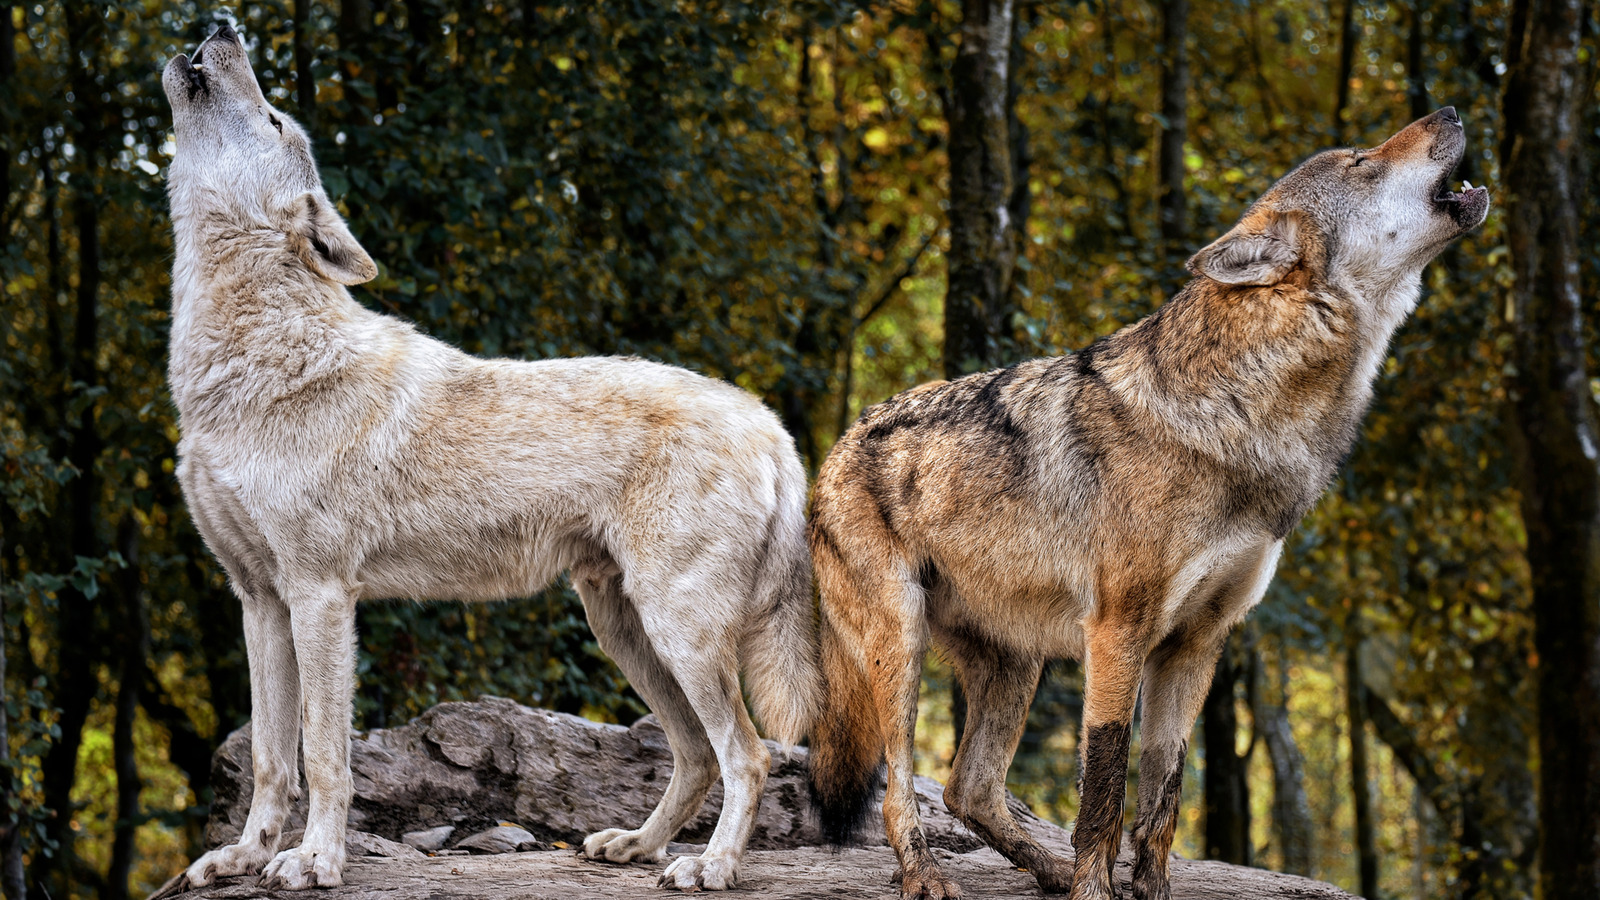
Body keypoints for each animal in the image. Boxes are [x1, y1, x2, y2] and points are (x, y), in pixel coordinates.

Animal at [160, 23, 820, 893]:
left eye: (271, 119)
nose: (223, 26)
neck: (248, 364)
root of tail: (771, 424)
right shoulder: (259, 600)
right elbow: (273, 758)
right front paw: (245, 855)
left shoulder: (321, 596)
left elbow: (325, 756)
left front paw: (316, 861)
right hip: (624, 630)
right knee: (695, 755)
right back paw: (636, 847)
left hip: (679, 631)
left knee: (747, 754)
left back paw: (708, 867)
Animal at [806, 109, 1489, 900]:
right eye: (1359, 162)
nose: (1451, 112)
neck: (1244, 414)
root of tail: (833, 447)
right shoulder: (1118, 631)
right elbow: (1105, 786)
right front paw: (1095, 890)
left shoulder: (1200, 640)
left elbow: (1164, 789)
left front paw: (1144, 889)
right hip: (903, 644)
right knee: (897, 788)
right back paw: (928, 877)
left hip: (1017, 667)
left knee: (967, 788)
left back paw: (1045, 870)